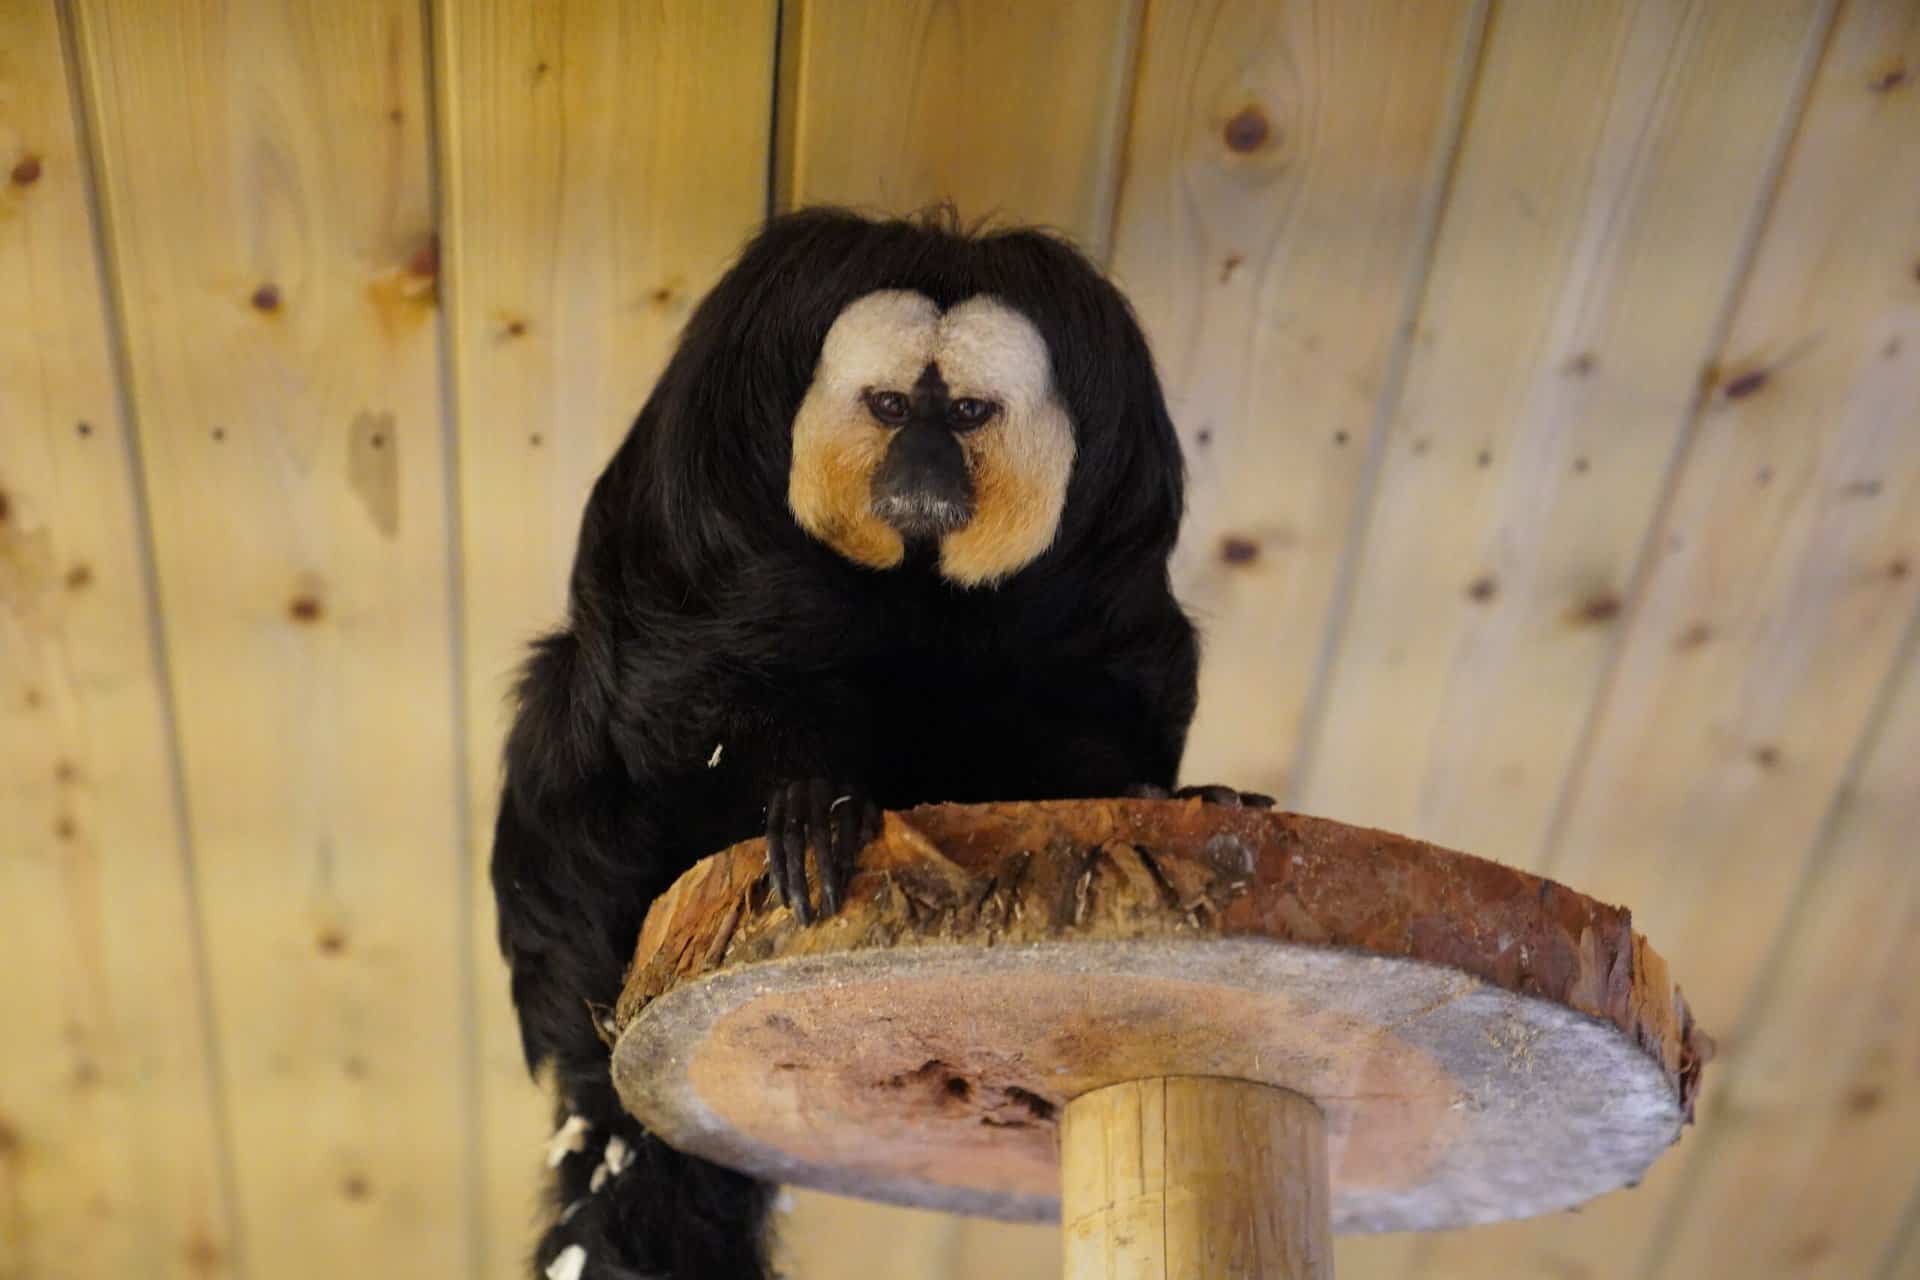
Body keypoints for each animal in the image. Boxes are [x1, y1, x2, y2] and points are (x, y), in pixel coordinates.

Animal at [490, 206, 1269, 1280]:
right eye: (894, 407)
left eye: (970, 414)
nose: (925, 469)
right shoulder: (714, 441)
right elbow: (682, 659)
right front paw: (811, 798)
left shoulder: (1117, 500)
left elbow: (1095, 679)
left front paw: (1166, 800)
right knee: (564, 722)